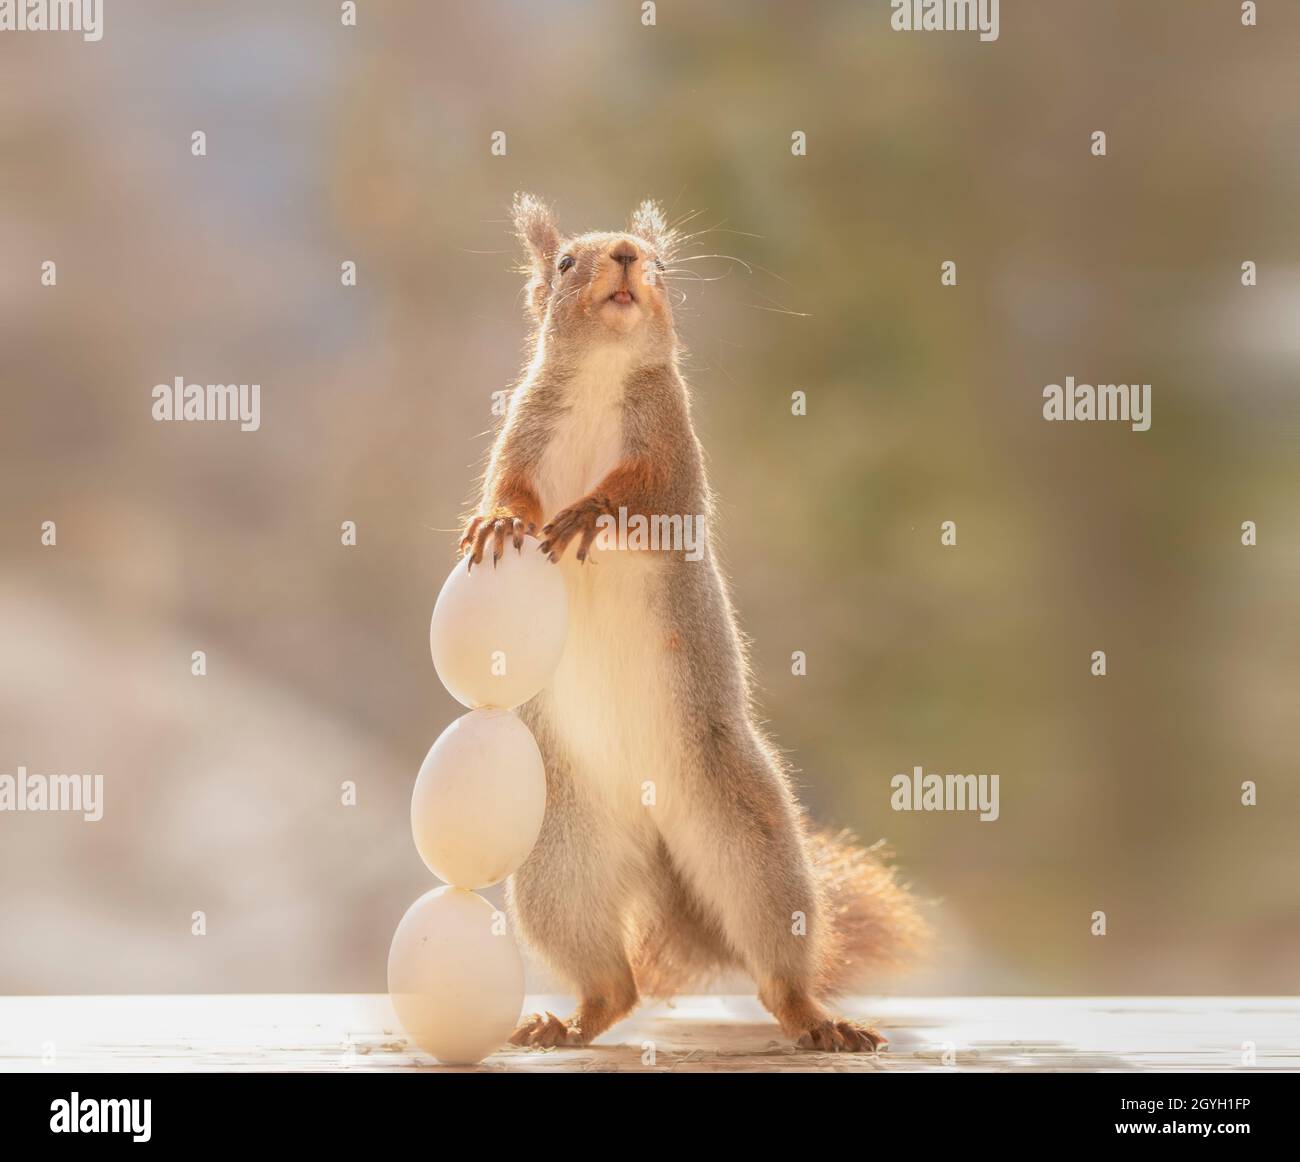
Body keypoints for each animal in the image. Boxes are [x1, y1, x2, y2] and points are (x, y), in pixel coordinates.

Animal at [459, 194, 926, 1053]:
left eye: (662, 262)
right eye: (566, 262)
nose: (625, 256)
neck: (604, 374)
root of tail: (656, 855)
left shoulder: (673, 457)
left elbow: (646, 502)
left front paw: (591, 513)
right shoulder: (521, 436)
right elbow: (508, 490)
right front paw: (497, 523)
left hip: (750, 839)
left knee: (778, 965)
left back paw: (819, 1022)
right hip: (559, 868)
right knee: (614, 983)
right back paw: (566, 1022)